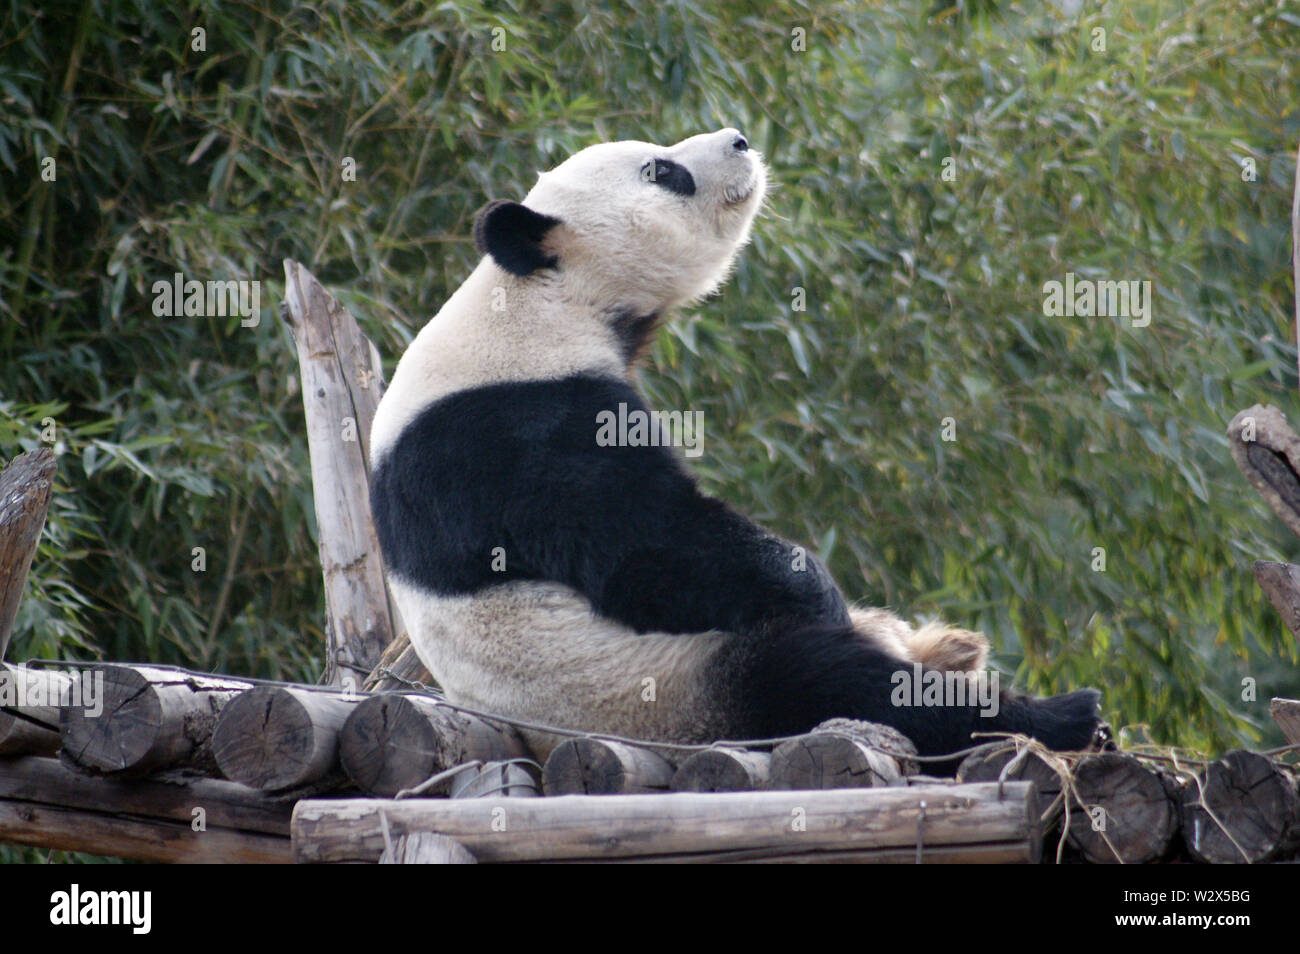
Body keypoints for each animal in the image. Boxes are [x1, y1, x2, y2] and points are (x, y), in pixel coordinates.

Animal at [369, 128, 1100, 766]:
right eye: (662, 171)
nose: (741, 139)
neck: (536, 301)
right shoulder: (517, 429)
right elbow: (648, 548)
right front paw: (817, 591)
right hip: (663, 686)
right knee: (829, 683)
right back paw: (1059, 713)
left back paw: (952, 649)